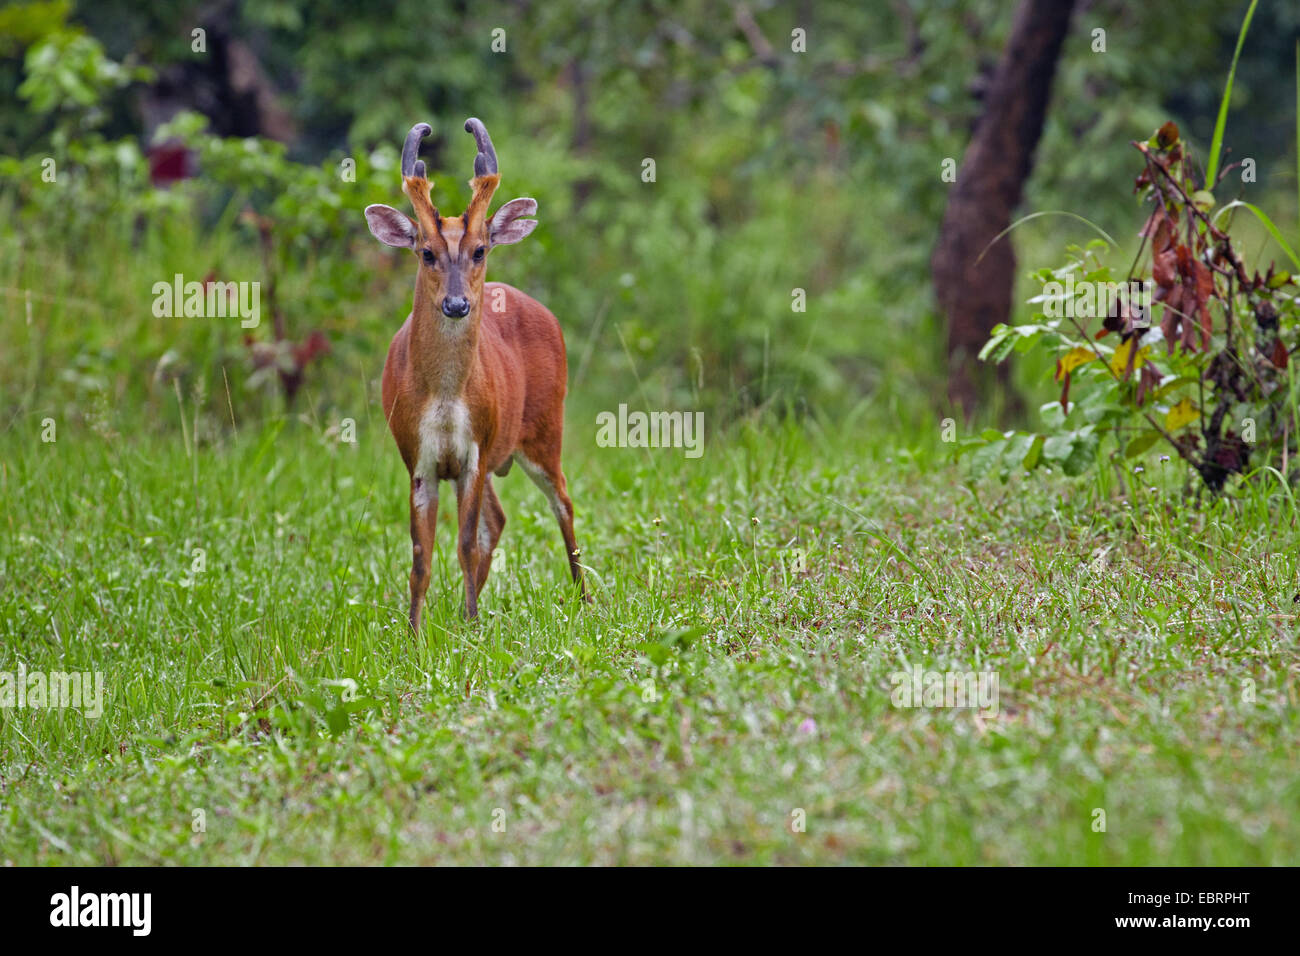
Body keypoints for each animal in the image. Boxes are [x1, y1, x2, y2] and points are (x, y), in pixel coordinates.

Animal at [364, 118, 589, 628]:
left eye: (481, 249)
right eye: (426, 252)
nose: (456, 304)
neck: (445, 396)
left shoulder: (475, 451)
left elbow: (465, 543)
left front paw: (471, 626)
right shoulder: (418, 456)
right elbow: (421, 555)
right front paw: (416, 631)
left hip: (545, 427)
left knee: (563, 501)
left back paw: (584, 599)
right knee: (498, 518)